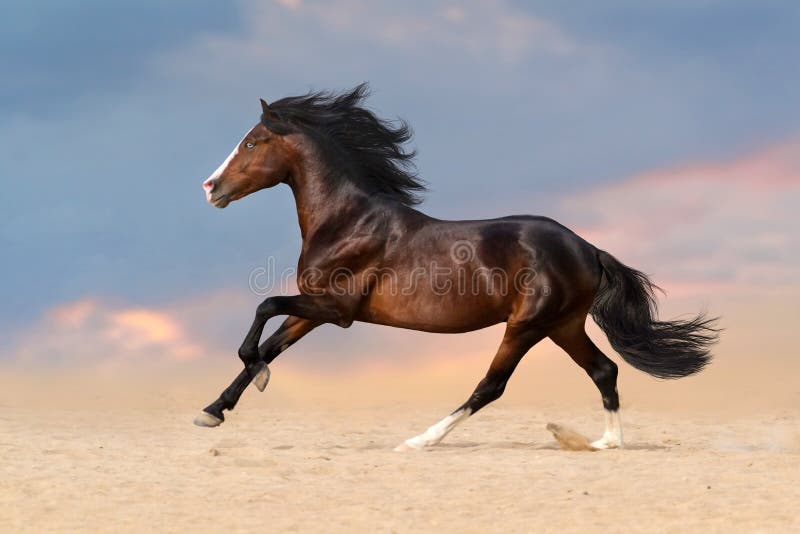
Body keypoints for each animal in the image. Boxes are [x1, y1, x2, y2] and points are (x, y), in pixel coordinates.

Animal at [194, 84, 719, 451]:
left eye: (252, 142)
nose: (210, 187)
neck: (348, 219)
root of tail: (588, 248)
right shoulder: (314, 308)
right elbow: (273, 343)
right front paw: (213, 410)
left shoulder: (335, 308)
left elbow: (263, 310)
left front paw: (255, 377)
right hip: (562, 325)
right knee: (604, 370)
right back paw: (605, 443)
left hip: (527, 326)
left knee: (491, 386)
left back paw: (419, 440)